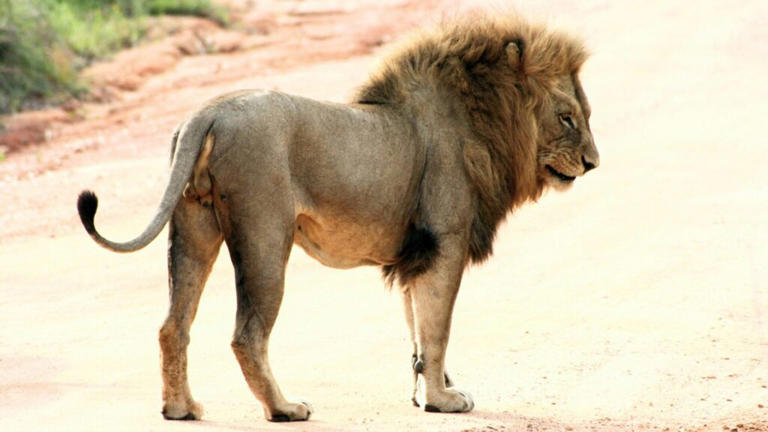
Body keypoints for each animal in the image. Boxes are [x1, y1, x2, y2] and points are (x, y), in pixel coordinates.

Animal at [76, 14, 599, 422]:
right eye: (568, 117)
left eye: (585, 115)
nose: (593, 163)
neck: (487, 121)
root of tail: (207, 114)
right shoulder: (443, 243)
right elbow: (436, 330)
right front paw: (443, 400)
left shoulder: (415, 254)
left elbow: (416, 329)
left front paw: (424, 395)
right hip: (265, 234)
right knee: (247, 335)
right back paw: (284, 408)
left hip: (193, 227)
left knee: (173, 325)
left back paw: (181, 408)